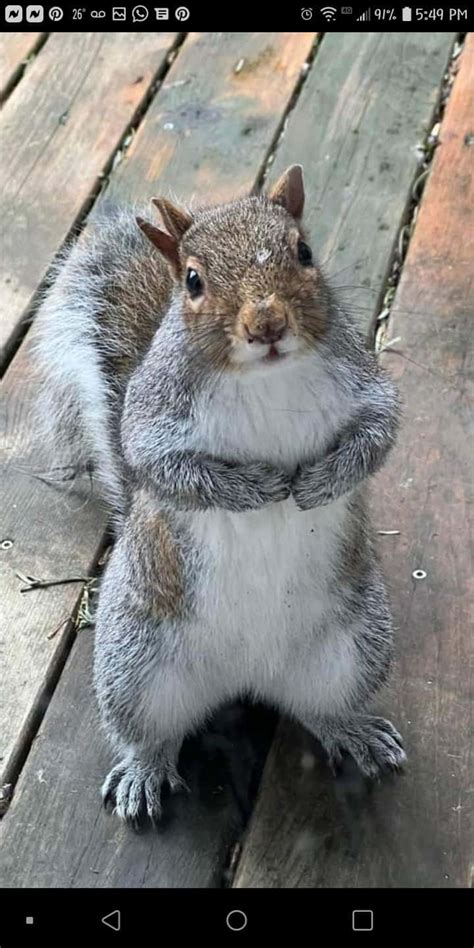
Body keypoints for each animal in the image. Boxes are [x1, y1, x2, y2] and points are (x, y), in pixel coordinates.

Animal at [34, 165, 405, 826]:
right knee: (149, 731)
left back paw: (355, 730)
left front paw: (321, 481)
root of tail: (250, 675)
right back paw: (143, 771)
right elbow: (166, 468)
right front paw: (254, 488)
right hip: (136, 664)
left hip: (356, 644)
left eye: (303, 252)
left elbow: (377, 433)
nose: (267, 325)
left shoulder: (366, 387)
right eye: (192, 280)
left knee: (324, 707)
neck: (264, 379)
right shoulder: (153, 420)